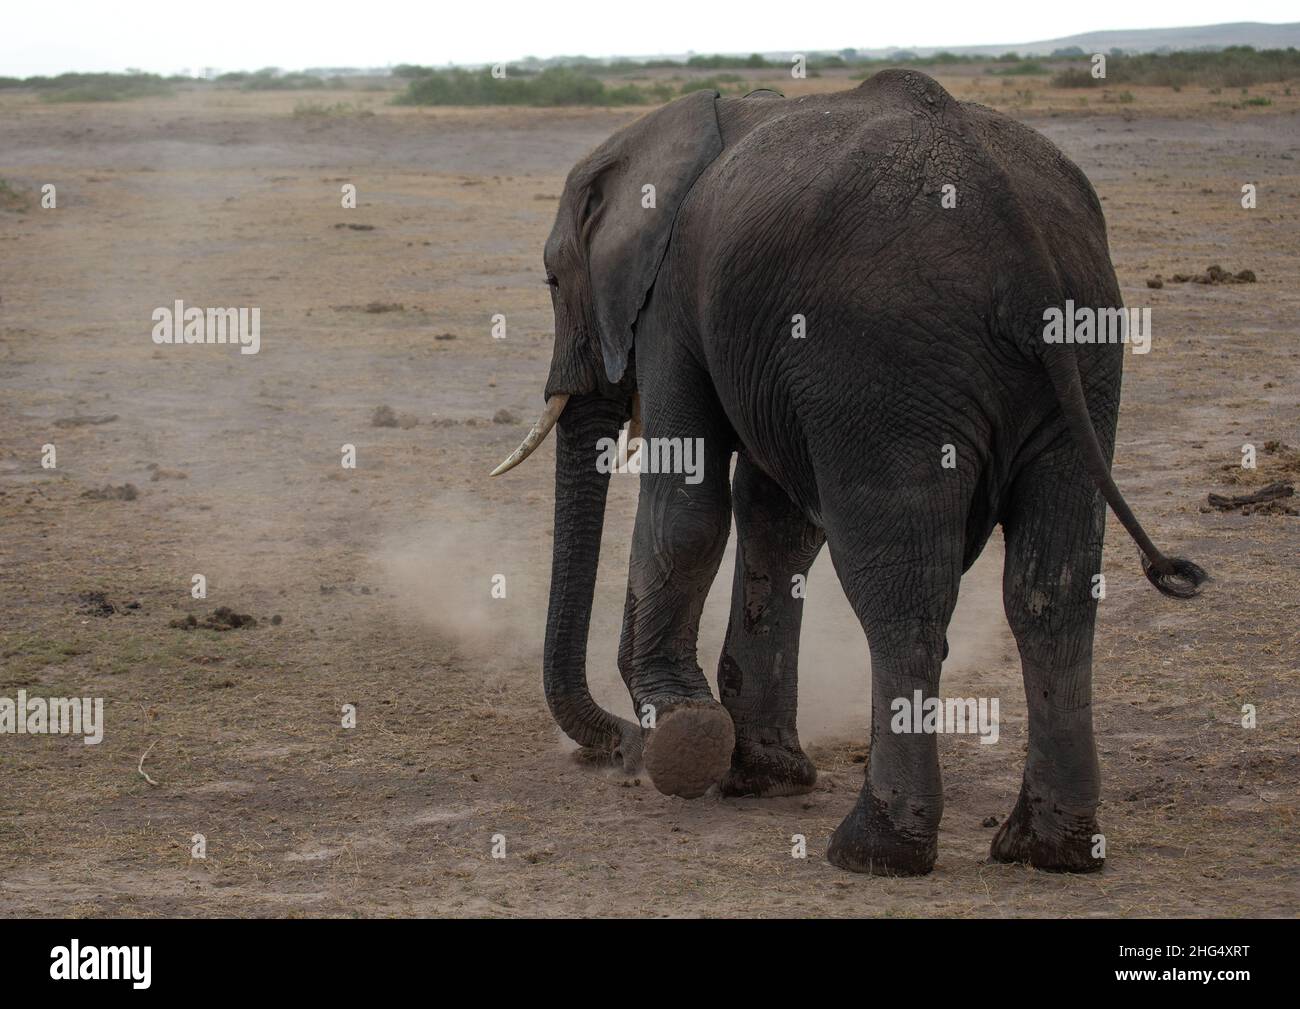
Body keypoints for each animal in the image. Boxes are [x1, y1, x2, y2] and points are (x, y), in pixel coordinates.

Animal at [491, 69, 1207, 876]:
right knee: (1050, 591)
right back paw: (1048, 849)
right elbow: (777, 524)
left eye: (553, 281)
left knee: (902, 595)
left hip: (883, 363)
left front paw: (683, 736)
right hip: (1085, 354)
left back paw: (874, 849)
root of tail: (1021, 239)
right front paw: (762, 774)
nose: (616, 748)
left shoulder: (676, 301)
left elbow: (689, 502)